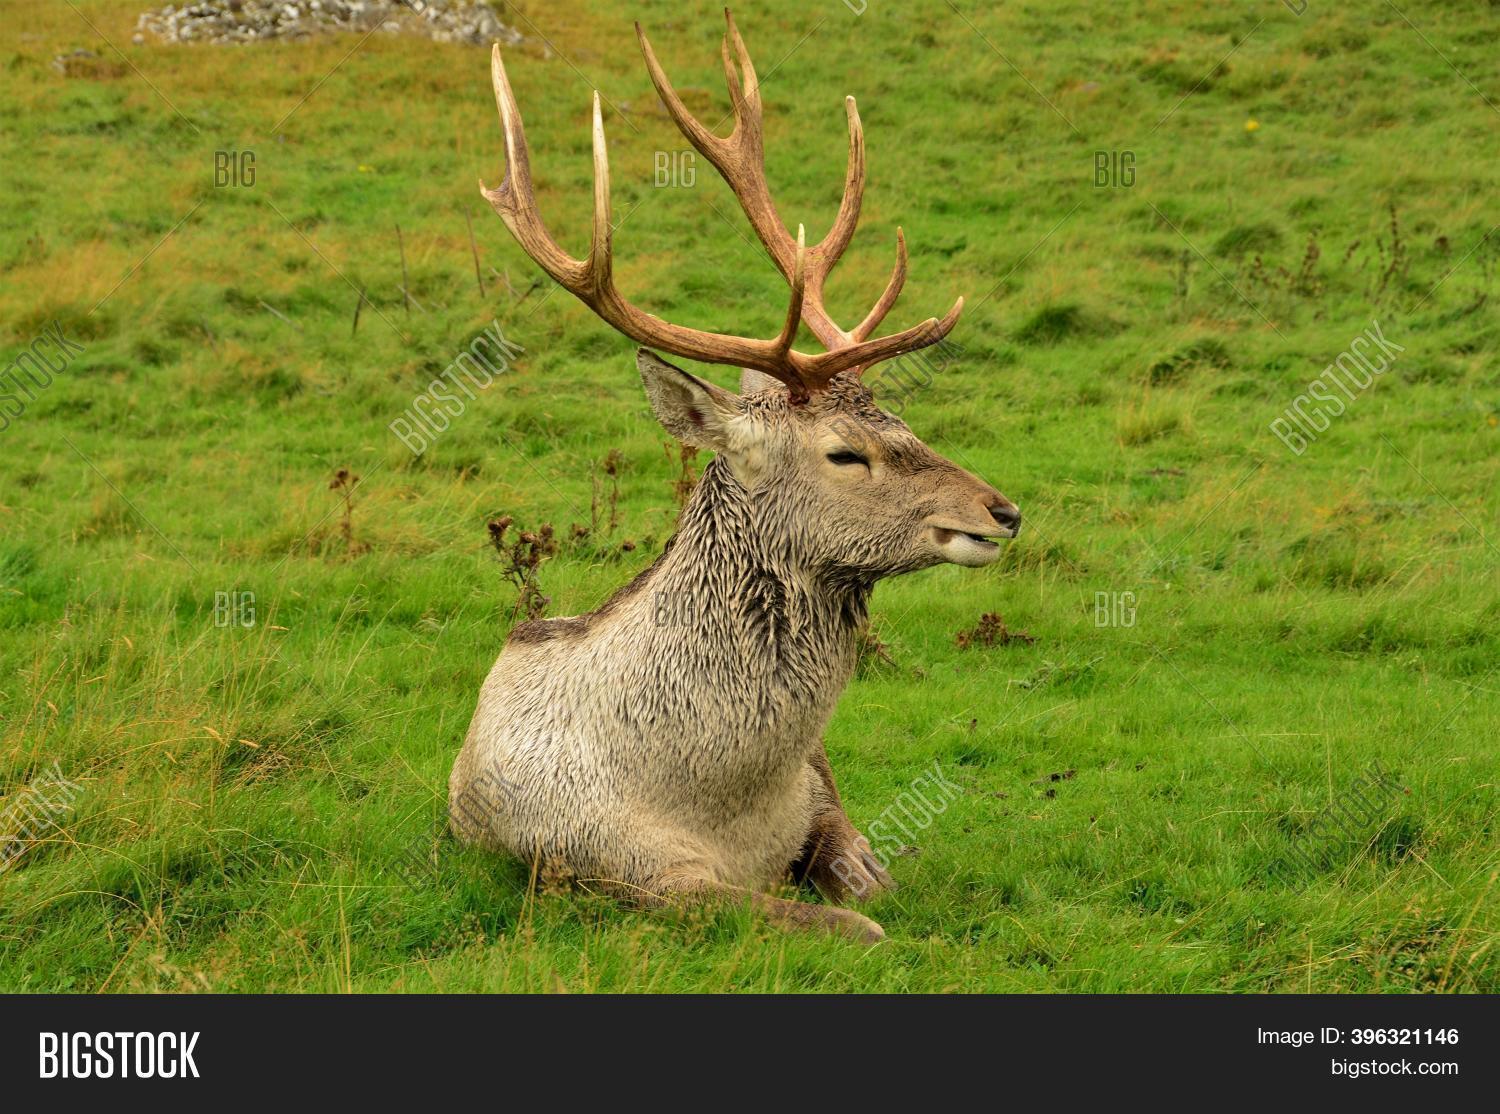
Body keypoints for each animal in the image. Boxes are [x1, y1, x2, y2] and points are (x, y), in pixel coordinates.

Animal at [449, 10, 1020, 944]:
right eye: (845, 452)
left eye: (904, 423)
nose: (1003, 511)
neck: (718, 805)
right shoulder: (632, 873)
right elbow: (853, 927)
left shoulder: (821, 802)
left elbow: (871, 883)